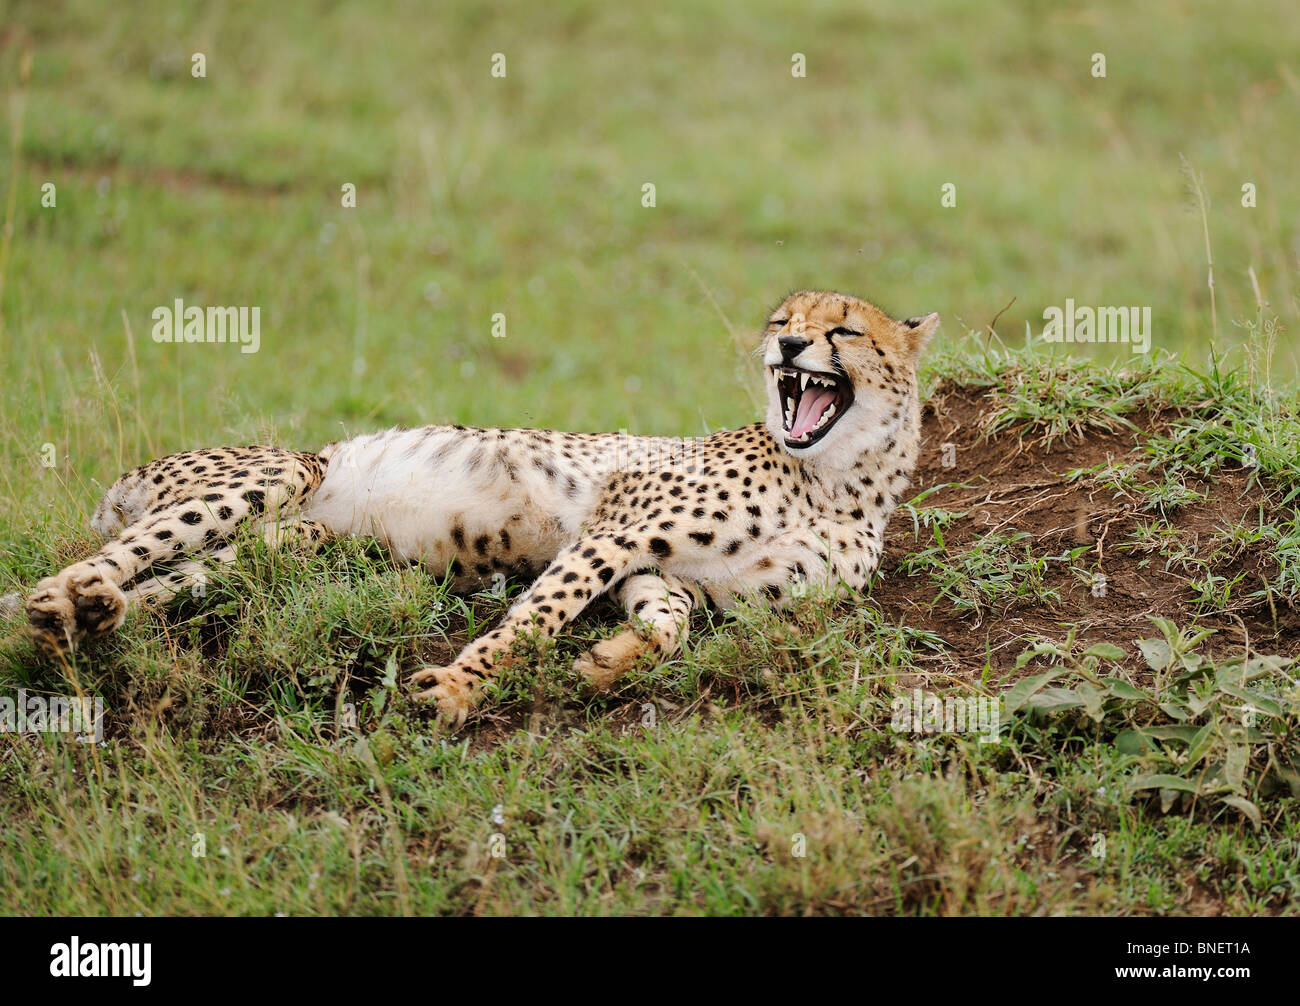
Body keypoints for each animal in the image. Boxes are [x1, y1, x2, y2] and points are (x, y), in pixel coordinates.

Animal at [23, 290, 937, 725]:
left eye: (844, 332)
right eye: (785, 319)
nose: (786, 345)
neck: (834, 479)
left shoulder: (666, 571)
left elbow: (668, 625)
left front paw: (608, 662)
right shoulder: (613, 532)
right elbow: (533, 618)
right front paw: (462, 689)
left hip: (284, 543)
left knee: (162, 583)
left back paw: (97, 615)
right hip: (280, 470)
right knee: (92, 564)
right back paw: (61, 603)